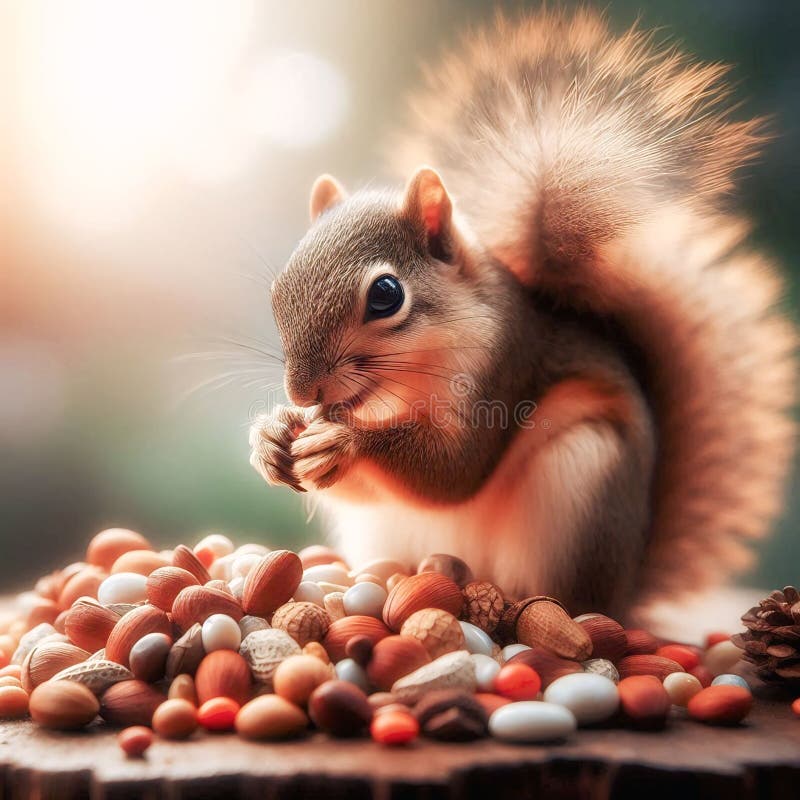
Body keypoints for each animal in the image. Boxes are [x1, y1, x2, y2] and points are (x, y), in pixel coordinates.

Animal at [249, 10, 796, 620]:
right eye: (277, 291)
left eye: (386, 295)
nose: (302, 392)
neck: (400, 392)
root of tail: (624, 592)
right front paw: (270, 437)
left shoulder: (502, 371)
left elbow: (454, 474)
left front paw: (348, 442)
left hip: (578, 484)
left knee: (565, 596)